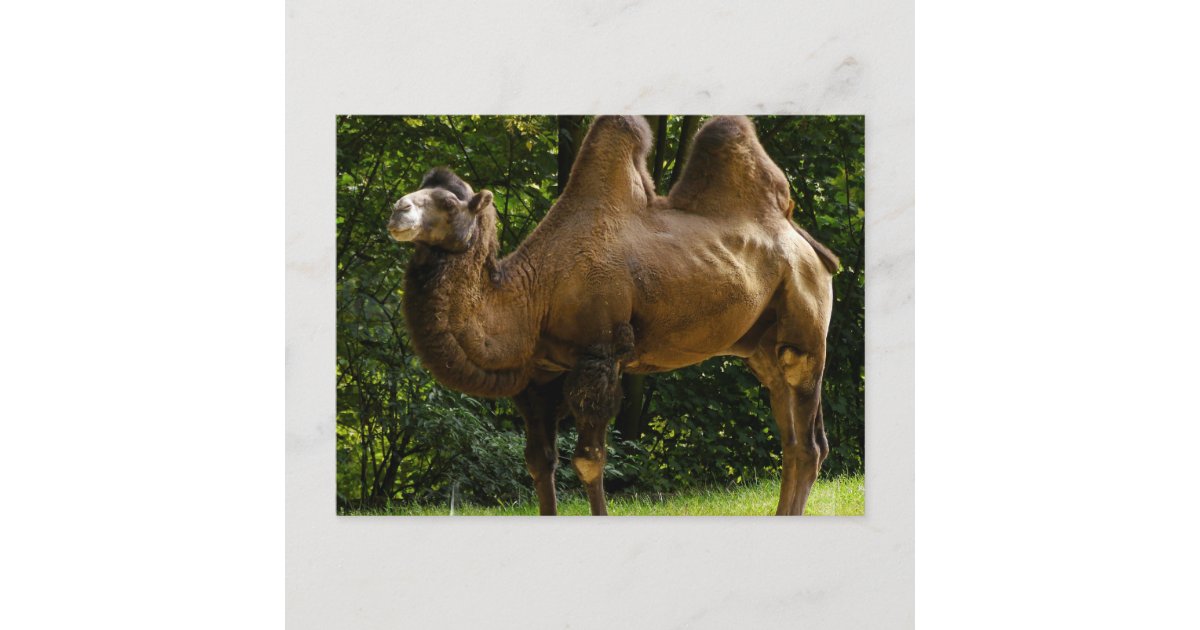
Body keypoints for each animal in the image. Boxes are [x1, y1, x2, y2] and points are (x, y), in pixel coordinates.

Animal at [386, 115, 839, 515]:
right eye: (420, 188)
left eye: (448, 202)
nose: (397, 210)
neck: (535, 293)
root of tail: (814, 251)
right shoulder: (539, 377)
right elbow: (539, 462)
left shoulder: (599, 355)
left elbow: (588, 461)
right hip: (762, 348)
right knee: (794, 432)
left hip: (803, 319)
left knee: (807, 438)